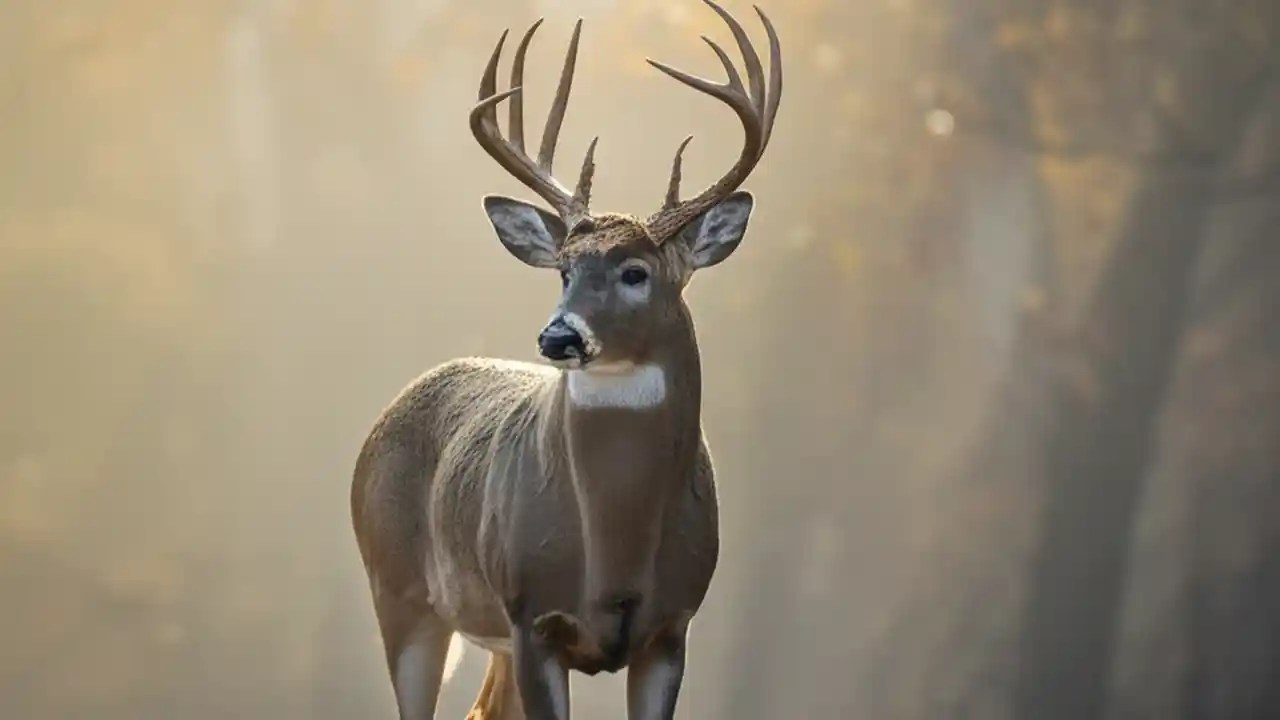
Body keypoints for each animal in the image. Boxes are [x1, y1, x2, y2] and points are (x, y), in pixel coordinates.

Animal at [350, 2, 781, 718]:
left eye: (636, 272)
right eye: (563, 271)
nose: (558, 338)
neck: (615, 554)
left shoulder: (672, 628)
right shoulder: (532, 617)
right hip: (400, 592)